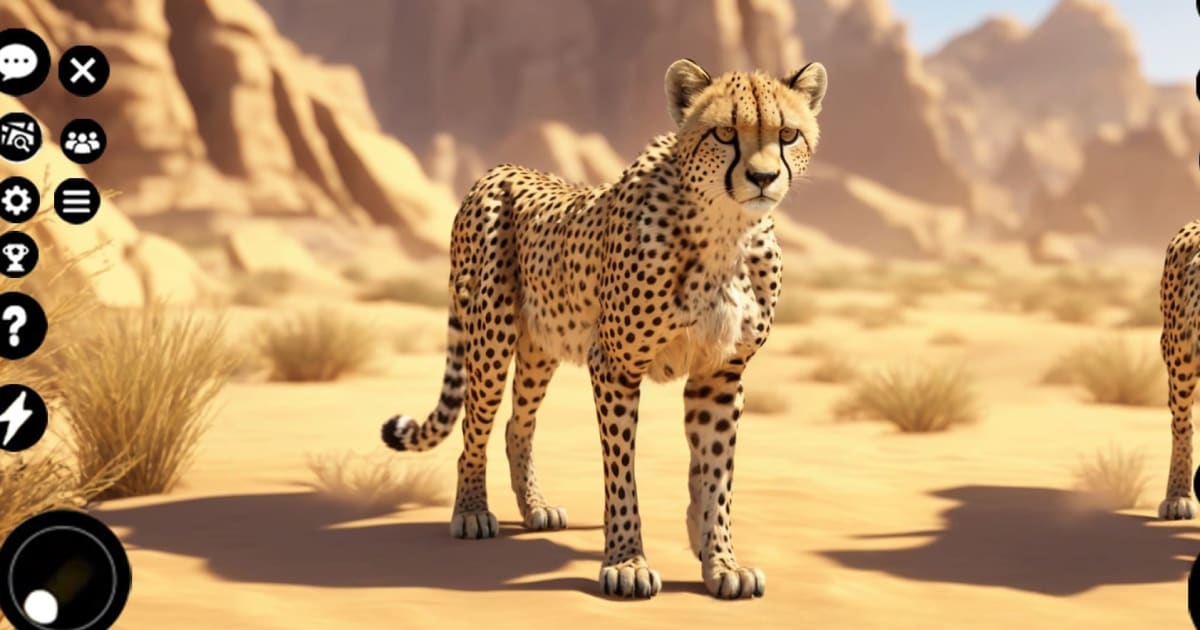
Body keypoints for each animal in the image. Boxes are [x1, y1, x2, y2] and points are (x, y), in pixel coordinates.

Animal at [380, 58, 828, 599]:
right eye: (724, 133)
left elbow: (716, 476)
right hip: (491, 337)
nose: (763, 177)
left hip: (541, 345)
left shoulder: (720, 375)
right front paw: (627, 563)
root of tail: (498, 169)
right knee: (475, 423)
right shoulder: (614, 366)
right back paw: (470, 511)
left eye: (787, 134)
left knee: (517, 423)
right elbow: (621, 473)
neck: (726, 230)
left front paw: (721, 563)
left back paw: (534, 507)